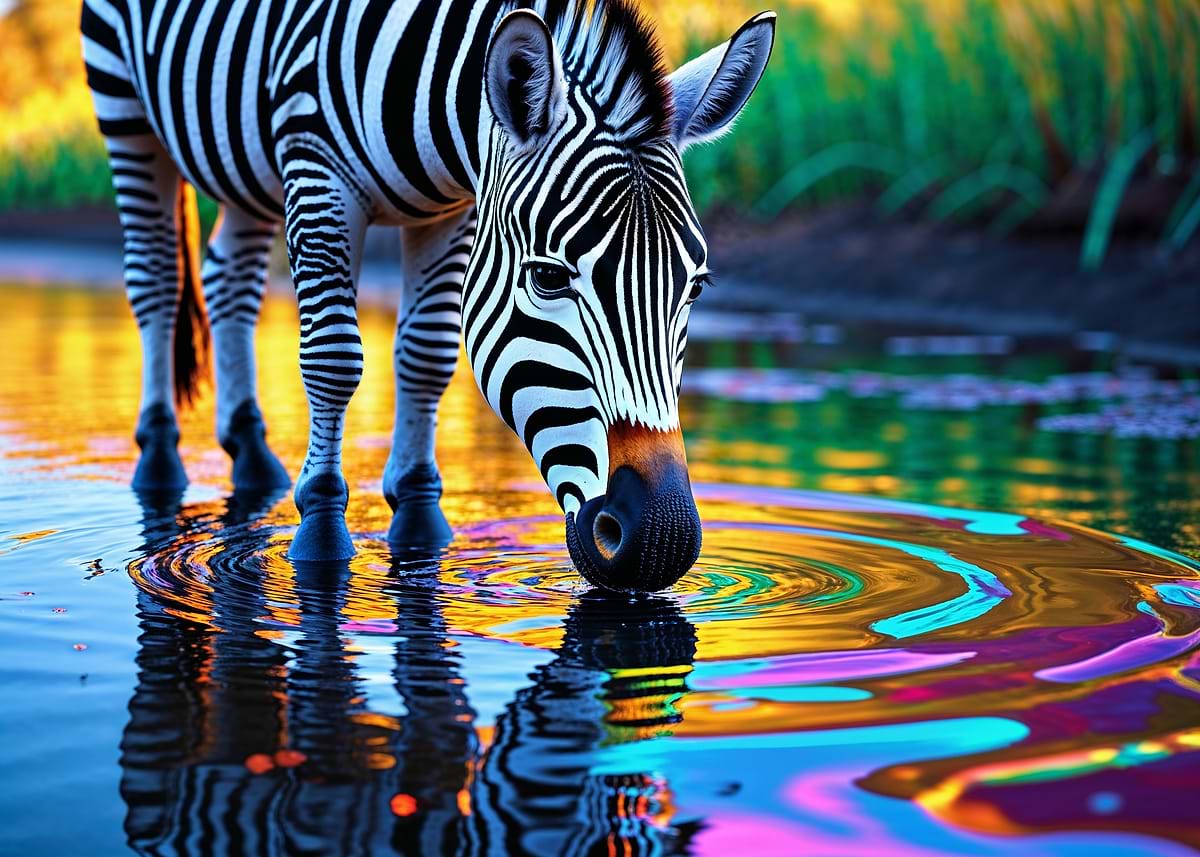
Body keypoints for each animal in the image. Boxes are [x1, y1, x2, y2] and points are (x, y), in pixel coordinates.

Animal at [82, 0, 775, 592]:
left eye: (695, 287)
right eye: (549, 279)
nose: (663, 539)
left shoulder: (452, 209)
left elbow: (427, 355)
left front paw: (418, 517)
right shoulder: (317, 172)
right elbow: (334, 359)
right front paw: (322, 531)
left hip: (244, 163)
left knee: (230, 275)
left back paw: (251, 452)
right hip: (124, 104)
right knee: (155, 276)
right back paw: (159, 456)